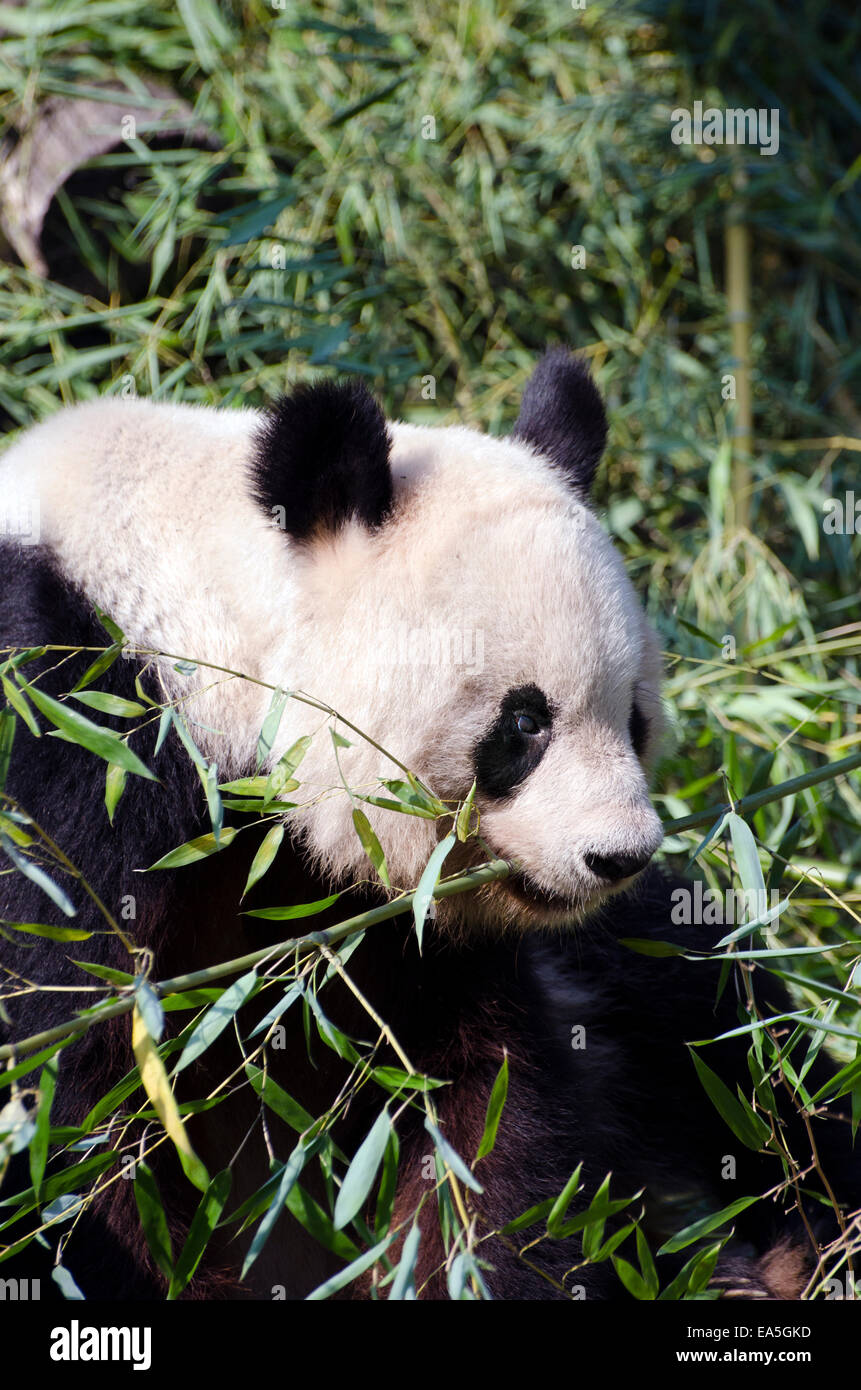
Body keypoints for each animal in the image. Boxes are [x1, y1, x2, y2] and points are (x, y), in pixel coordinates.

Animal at [0, 350, 857, 1301]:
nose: (617, 856)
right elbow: (73, 1094)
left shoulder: (390, 921)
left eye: (633, 719)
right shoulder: (71, 751)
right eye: (524, 723)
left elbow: (483, 1102)